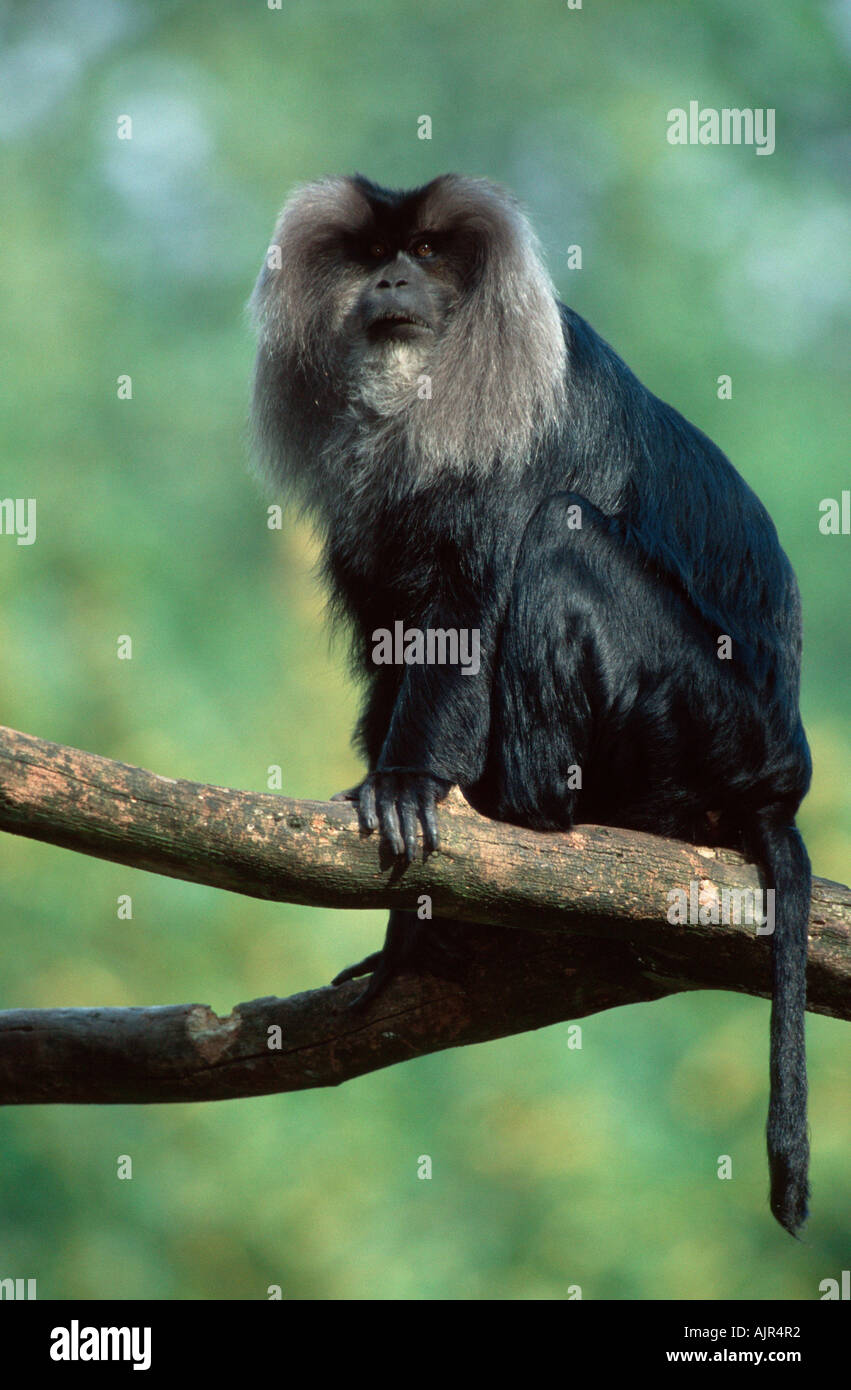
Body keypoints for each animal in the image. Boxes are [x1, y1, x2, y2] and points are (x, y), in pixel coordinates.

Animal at [249, 173, 812, 1236]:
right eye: (371, 253)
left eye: (428, 252)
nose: (391, 278)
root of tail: (781, 780)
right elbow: (394, 647)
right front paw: (407, 934)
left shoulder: (508, 437)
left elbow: (467, 618)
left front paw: (409, 788)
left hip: (708, 726)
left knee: (560, 538)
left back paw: (539, 817)